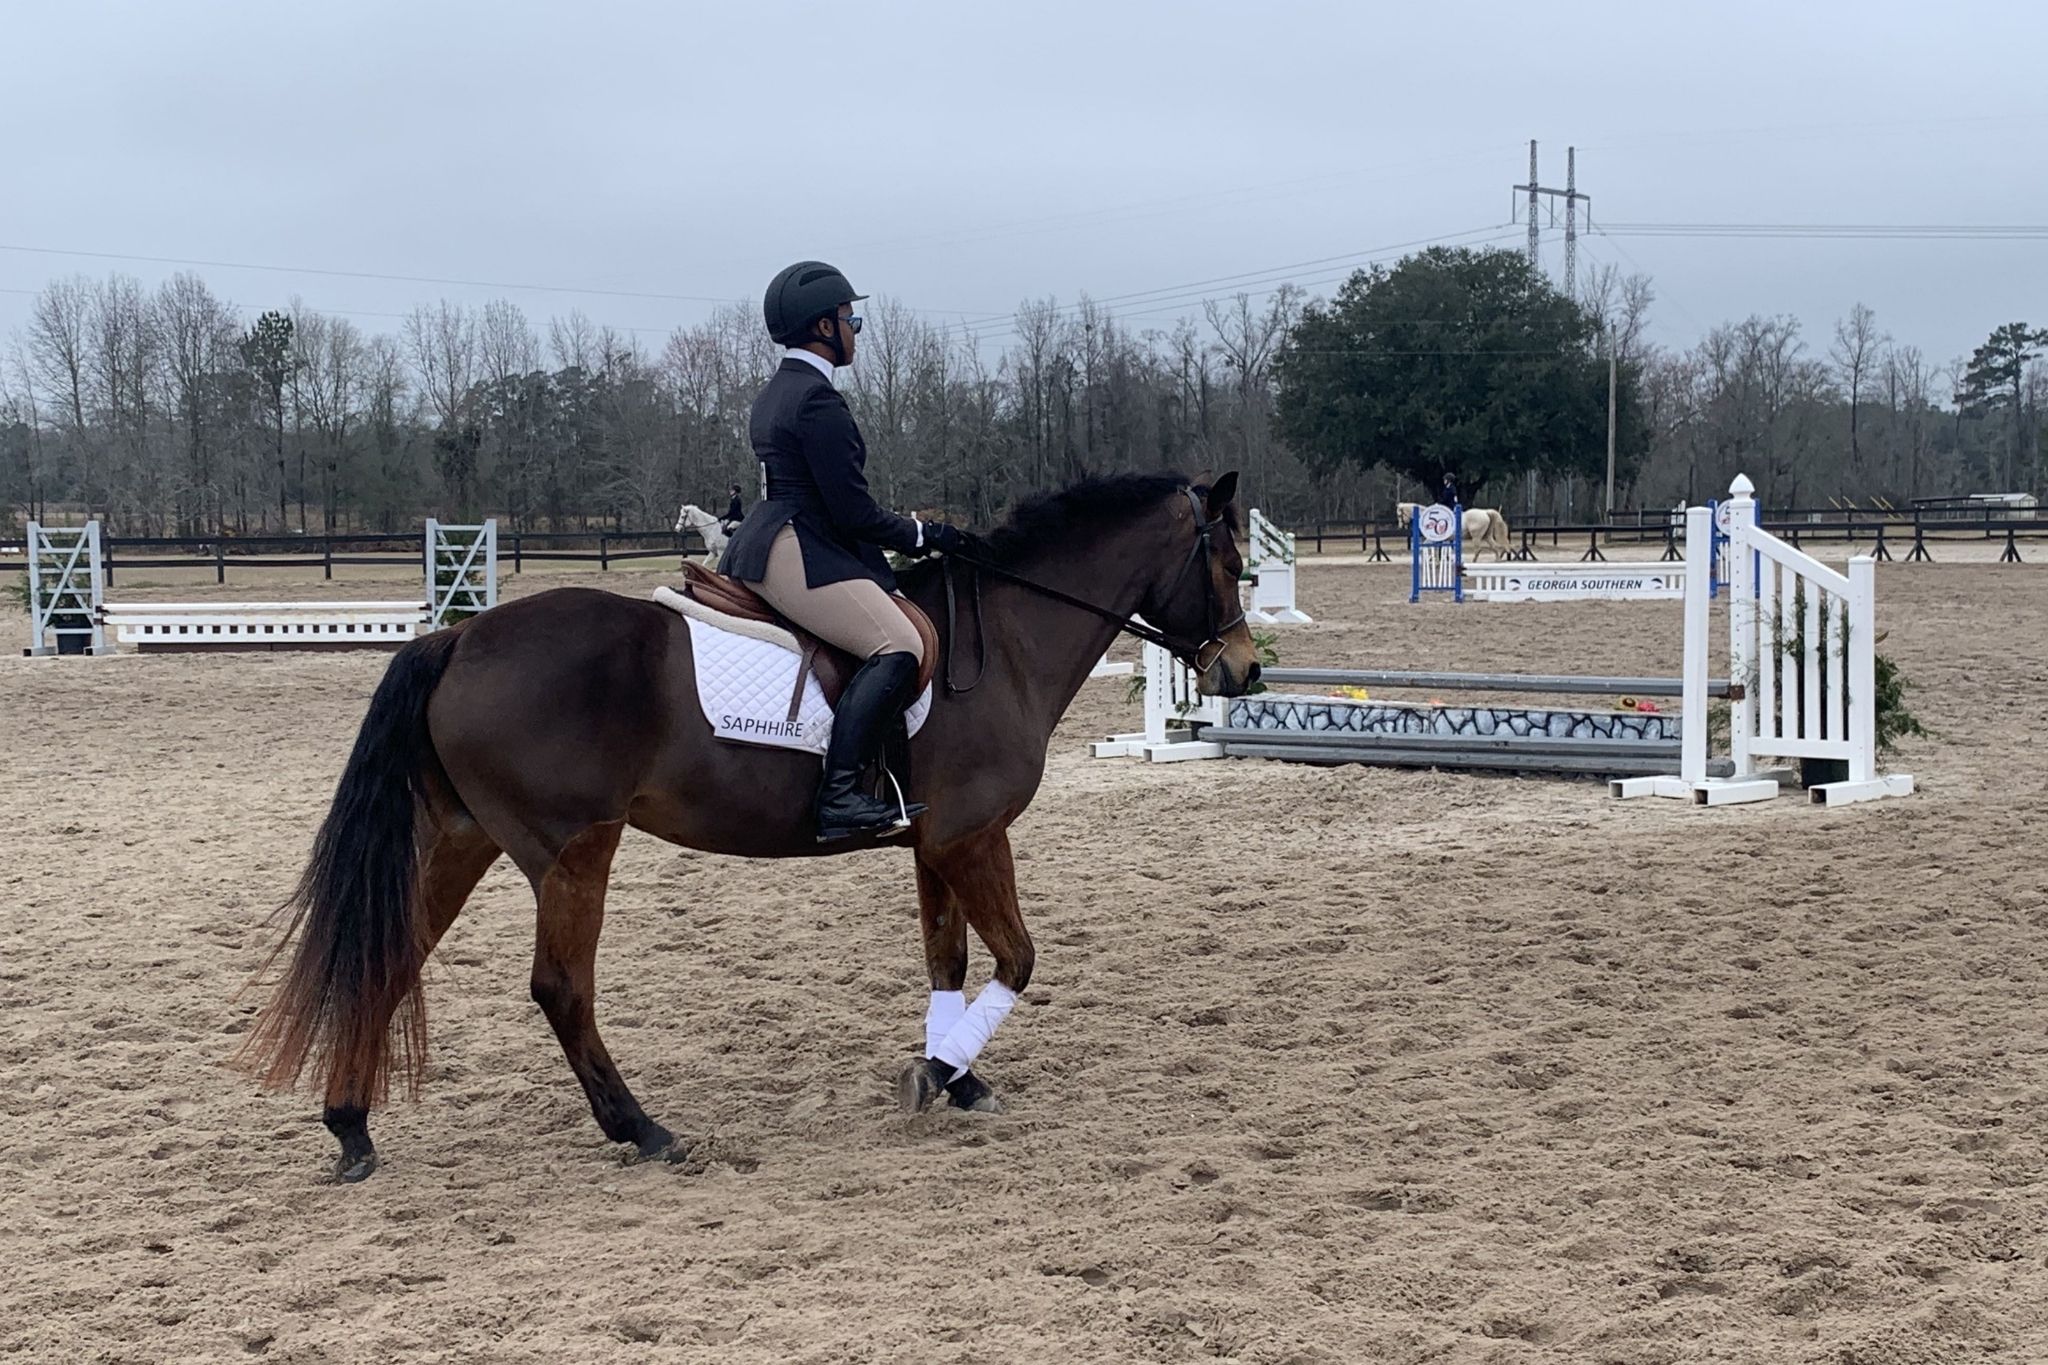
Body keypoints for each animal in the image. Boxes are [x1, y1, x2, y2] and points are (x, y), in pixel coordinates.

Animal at [243, 471, 1262, 1182]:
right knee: (561, 989)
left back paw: (351, 1127)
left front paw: (954, 1073)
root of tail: (456, 636)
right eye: (1227, 561)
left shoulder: (933, 844)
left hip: (464, 838)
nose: (1245, 671)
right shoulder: (973, 837)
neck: (1005, 643)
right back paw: (644, 1129)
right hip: (574, 849)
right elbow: (1016, 958)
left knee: (389, 958)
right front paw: (941, 1074)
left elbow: (948, 959)